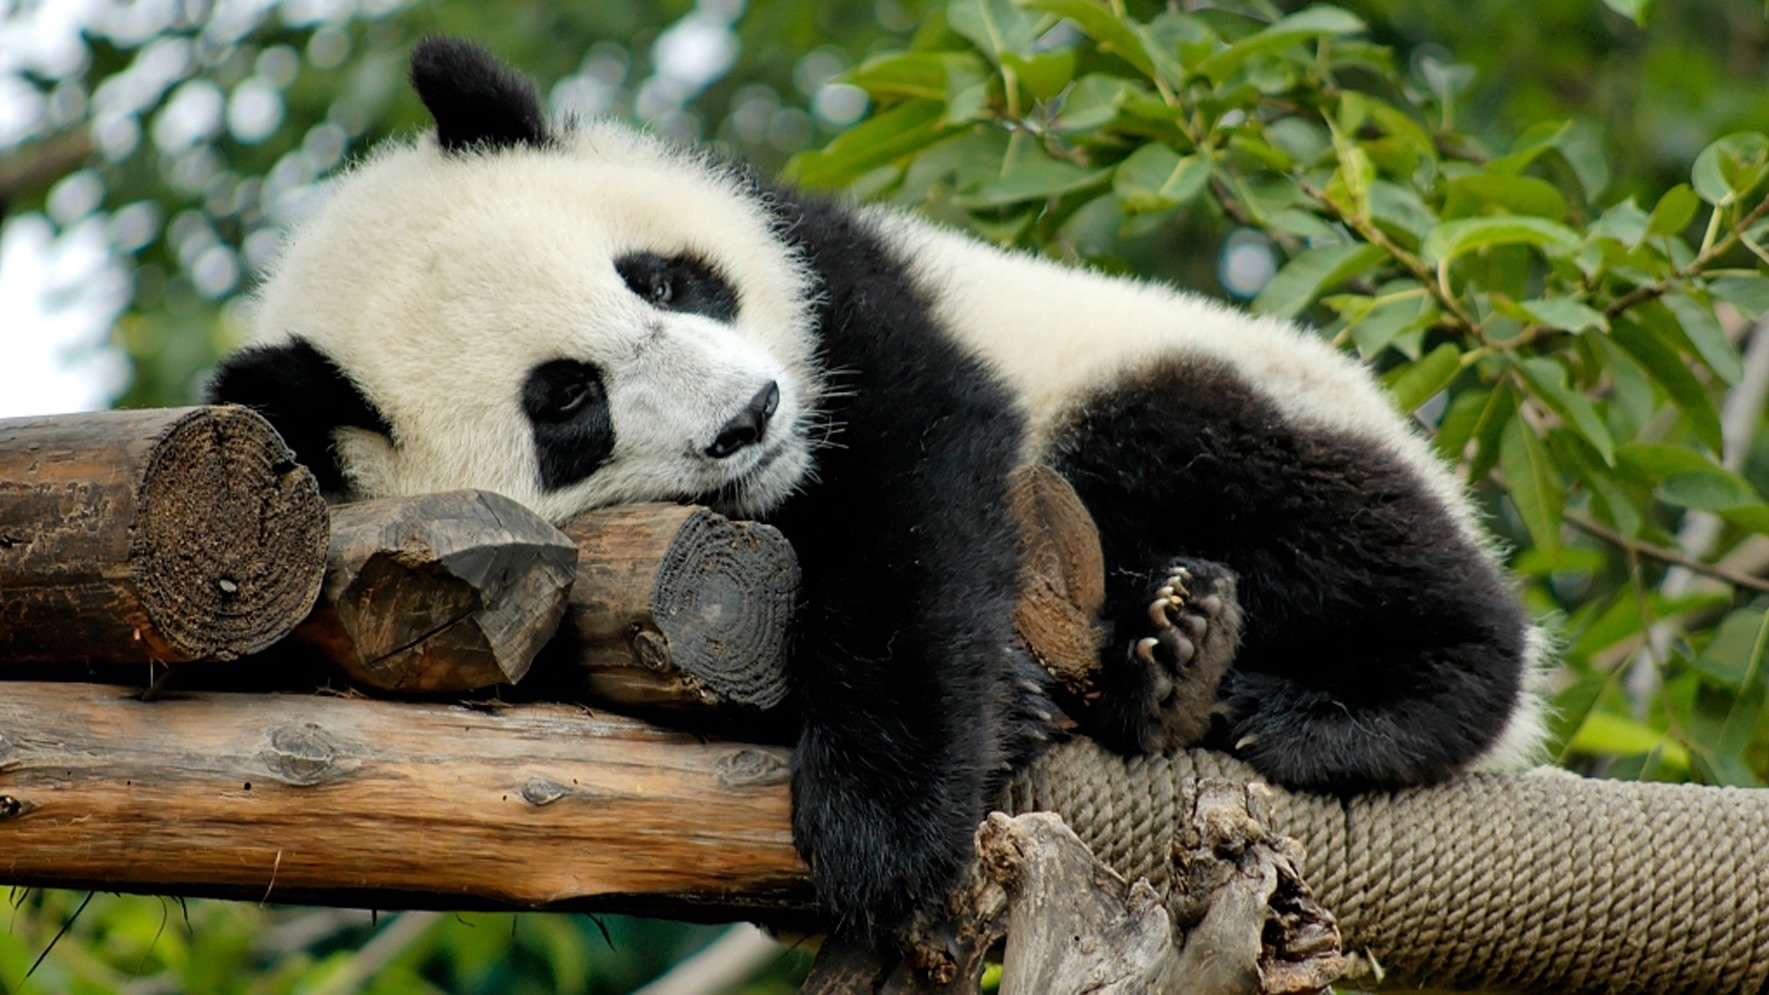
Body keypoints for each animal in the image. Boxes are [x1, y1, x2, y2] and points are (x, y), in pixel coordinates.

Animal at [209, 37, 1547, 941]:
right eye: (568, 402)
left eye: (660, 278)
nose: (751, 416)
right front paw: (996, 723)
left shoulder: (836, 290)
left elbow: (916, 493)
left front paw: (883, 820)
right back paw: (1168, 670)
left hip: (1192, 381)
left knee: (1256, 478)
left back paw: (1332, 697)